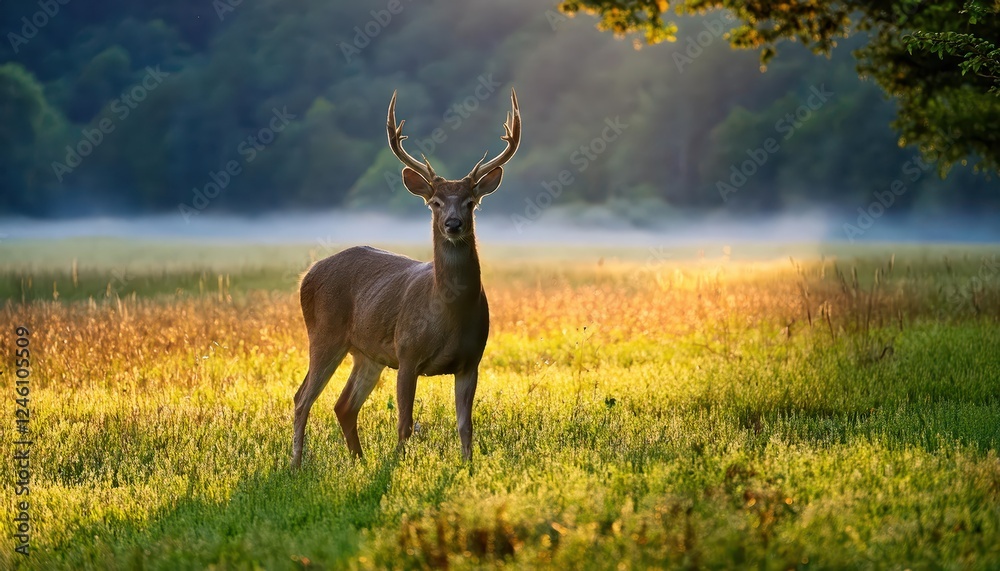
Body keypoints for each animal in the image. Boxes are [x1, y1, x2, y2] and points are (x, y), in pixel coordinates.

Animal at [291, 88, 521, 468]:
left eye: (471, 202)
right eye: (435, 202)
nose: (453, 224)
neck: (450, 314)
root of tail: (306, 274)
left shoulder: (471, 360)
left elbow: (465, 424)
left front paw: (468, 466)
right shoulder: (407, 352)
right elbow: (405, 422)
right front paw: (397, 466)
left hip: (366, 353)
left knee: (343, 404)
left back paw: (360, 461)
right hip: (324, 333)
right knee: (302, 397)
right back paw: (296, 465)